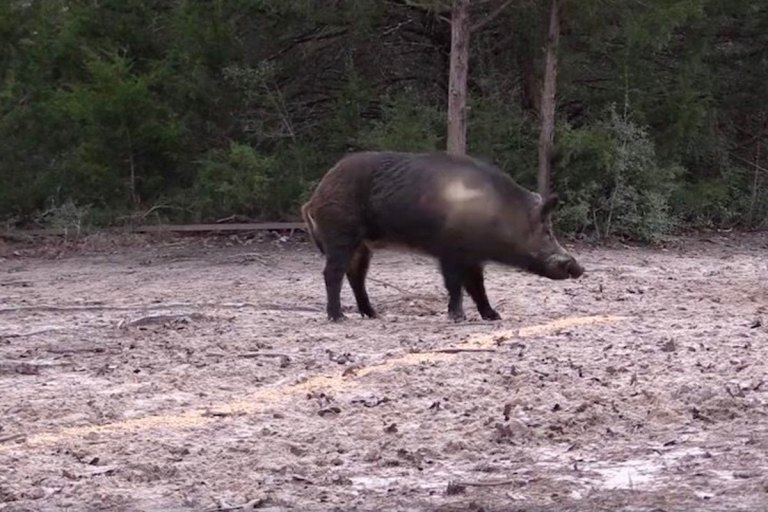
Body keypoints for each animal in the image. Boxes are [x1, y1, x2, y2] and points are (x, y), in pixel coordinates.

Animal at [301, 151, 584, 322]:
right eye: (546, 231)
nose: (579, 268)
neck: (496, 212)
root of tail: (315, 197)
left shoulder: (473, 257)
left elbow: (477, 286)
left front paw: (493, 316)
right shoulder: (450, 251)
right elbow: (455, 285)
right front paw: (458, 317)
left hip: (362, 245)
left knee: (355, 275)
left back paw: (373, 315)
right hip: (341, 233)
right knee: (333, 273)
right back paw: (338, 317)